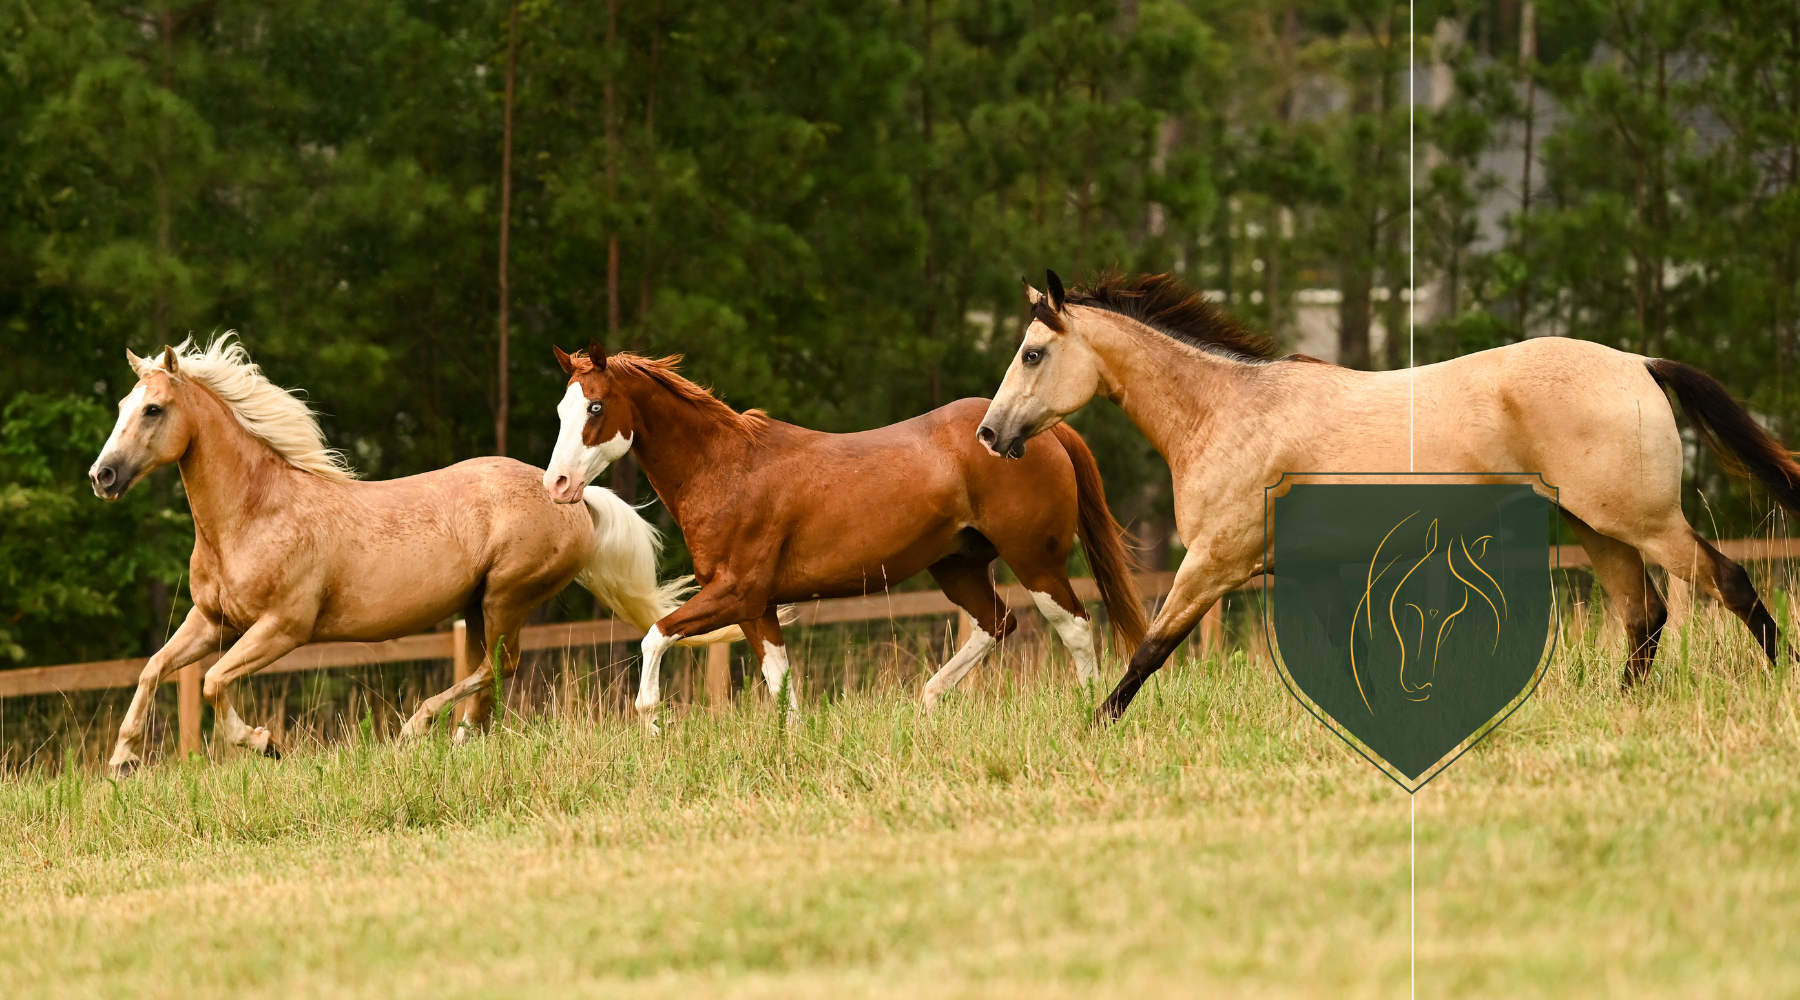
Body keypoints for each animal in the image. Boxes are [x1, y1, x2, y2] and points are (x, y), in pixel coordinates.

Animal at [88, 337, 734, 774]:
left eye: (153, 410)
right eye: (120, 404)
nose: (103, 476)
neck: (254, 514)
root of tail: (570, 495)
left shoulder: (283, 628)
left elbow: (213, 683)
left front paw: (265, 743)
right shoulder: (213, 620)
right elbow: (154, 668)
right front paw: (123, 761)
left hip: (506, 597)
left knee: (499, 667)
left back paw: (417, 728)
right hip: (477, 606)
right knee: (488, 682)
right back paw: (458, 742)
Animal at [538, 342, 1149, 731]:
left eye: (596, 406)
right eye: (561, 408)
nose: (557, 485)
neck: (724, 470)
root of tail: (1041, 432)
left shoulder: (734, 593)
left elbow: (654, 638)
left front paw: (652, 725)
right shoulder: (757, 608)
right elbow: (780, 685)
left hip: (1035, 561)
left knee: (1075, 627)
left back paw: (1090, 716)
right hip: (958, 564)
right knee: (996, 623)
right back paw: (925, 708)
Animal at [976, 270, 1800, 720]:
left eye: (1032, 353)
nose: (989, 433)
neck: (1229, 412)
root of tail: (1637, 362)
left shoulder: (1214, 563)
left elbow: (1149, 649)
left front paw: (1092, 730)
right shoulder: (1308, 573)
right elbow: (1358, 661)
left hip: (1645, 522)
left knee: (1727, 581)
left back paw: (1781, 679)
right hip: (1598, 528)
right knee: (1646, 616)